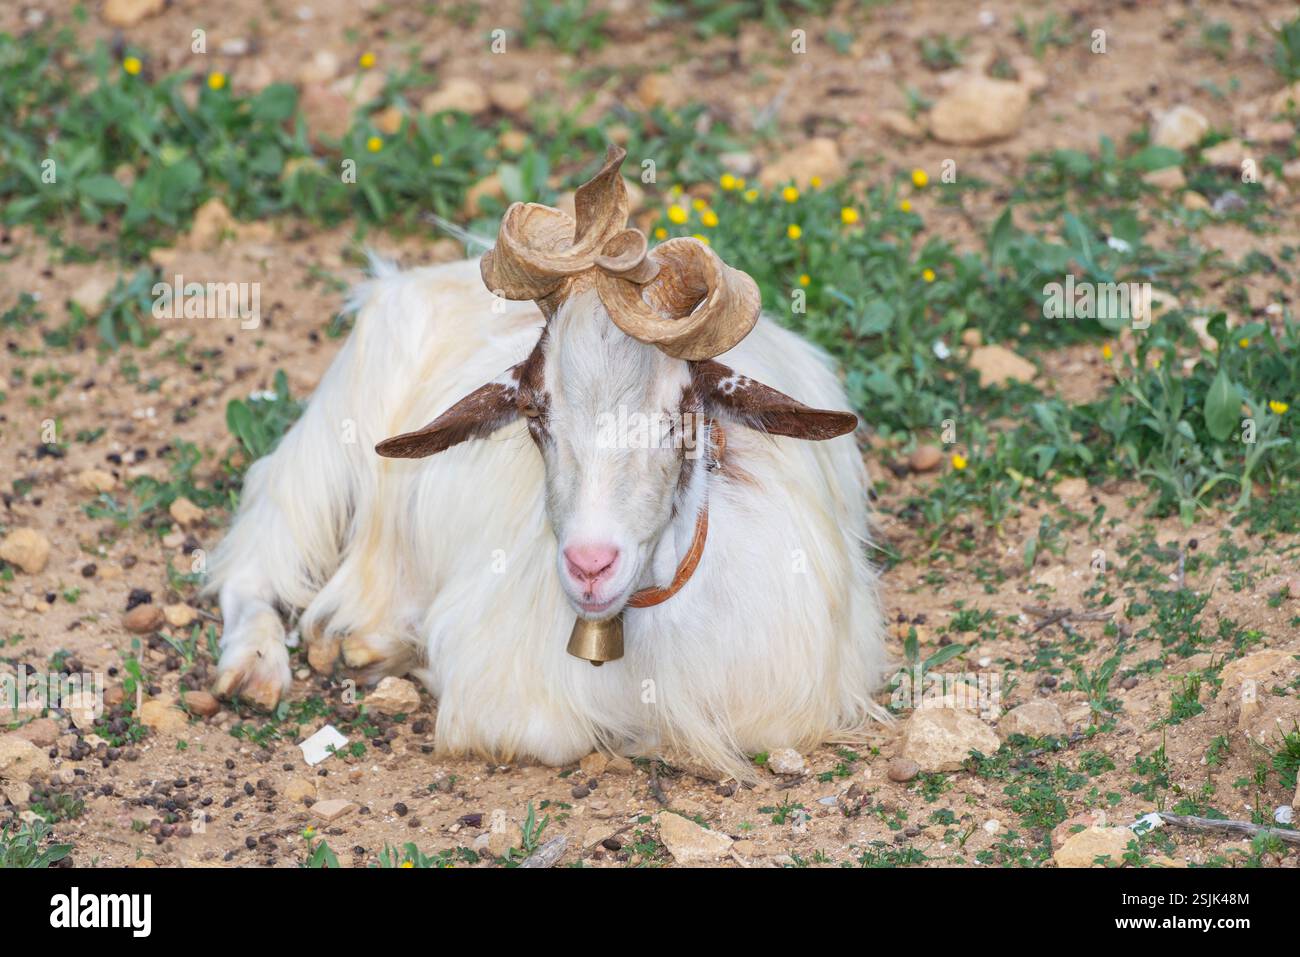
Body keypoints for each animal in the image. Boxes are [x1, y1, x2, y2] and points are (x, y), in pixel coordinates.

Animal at [206, 147, 890, 778]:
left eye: (680, 415)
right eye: (534, 413)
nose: (590, 565)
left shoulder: (790, 703)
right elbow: (555, 735)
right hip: (332, 435)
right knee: (261, 543)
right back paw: (260, 666)